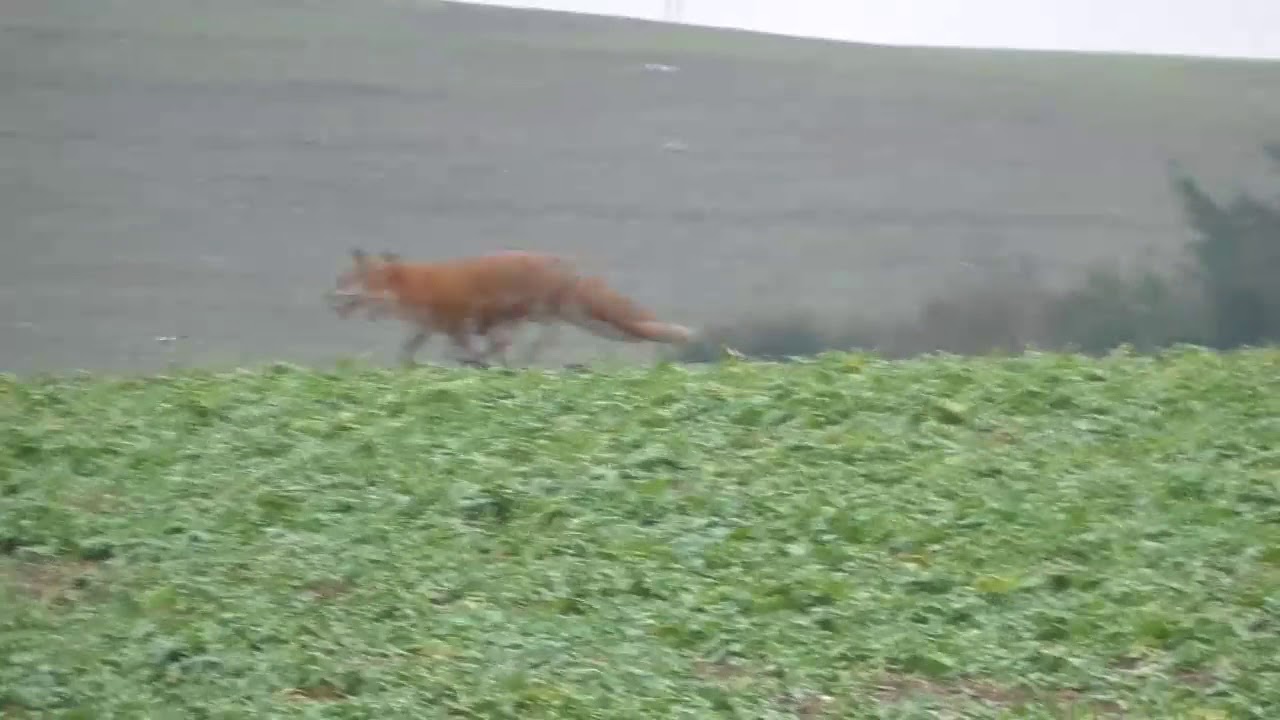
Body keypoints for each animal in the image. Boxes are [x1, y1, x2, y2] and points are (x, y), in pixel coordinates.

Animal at [327, 248, 696, 368]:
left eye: (349, 284)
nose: (328, 298)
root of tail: (568, 266)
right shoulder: (429, 328)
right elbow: (407, 353)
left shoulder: (457, 322)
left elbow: (459, 350)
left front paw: (471, 364)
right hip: (528, 316)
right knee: (530, 342)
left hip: (521, 314)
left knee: (533, 342)